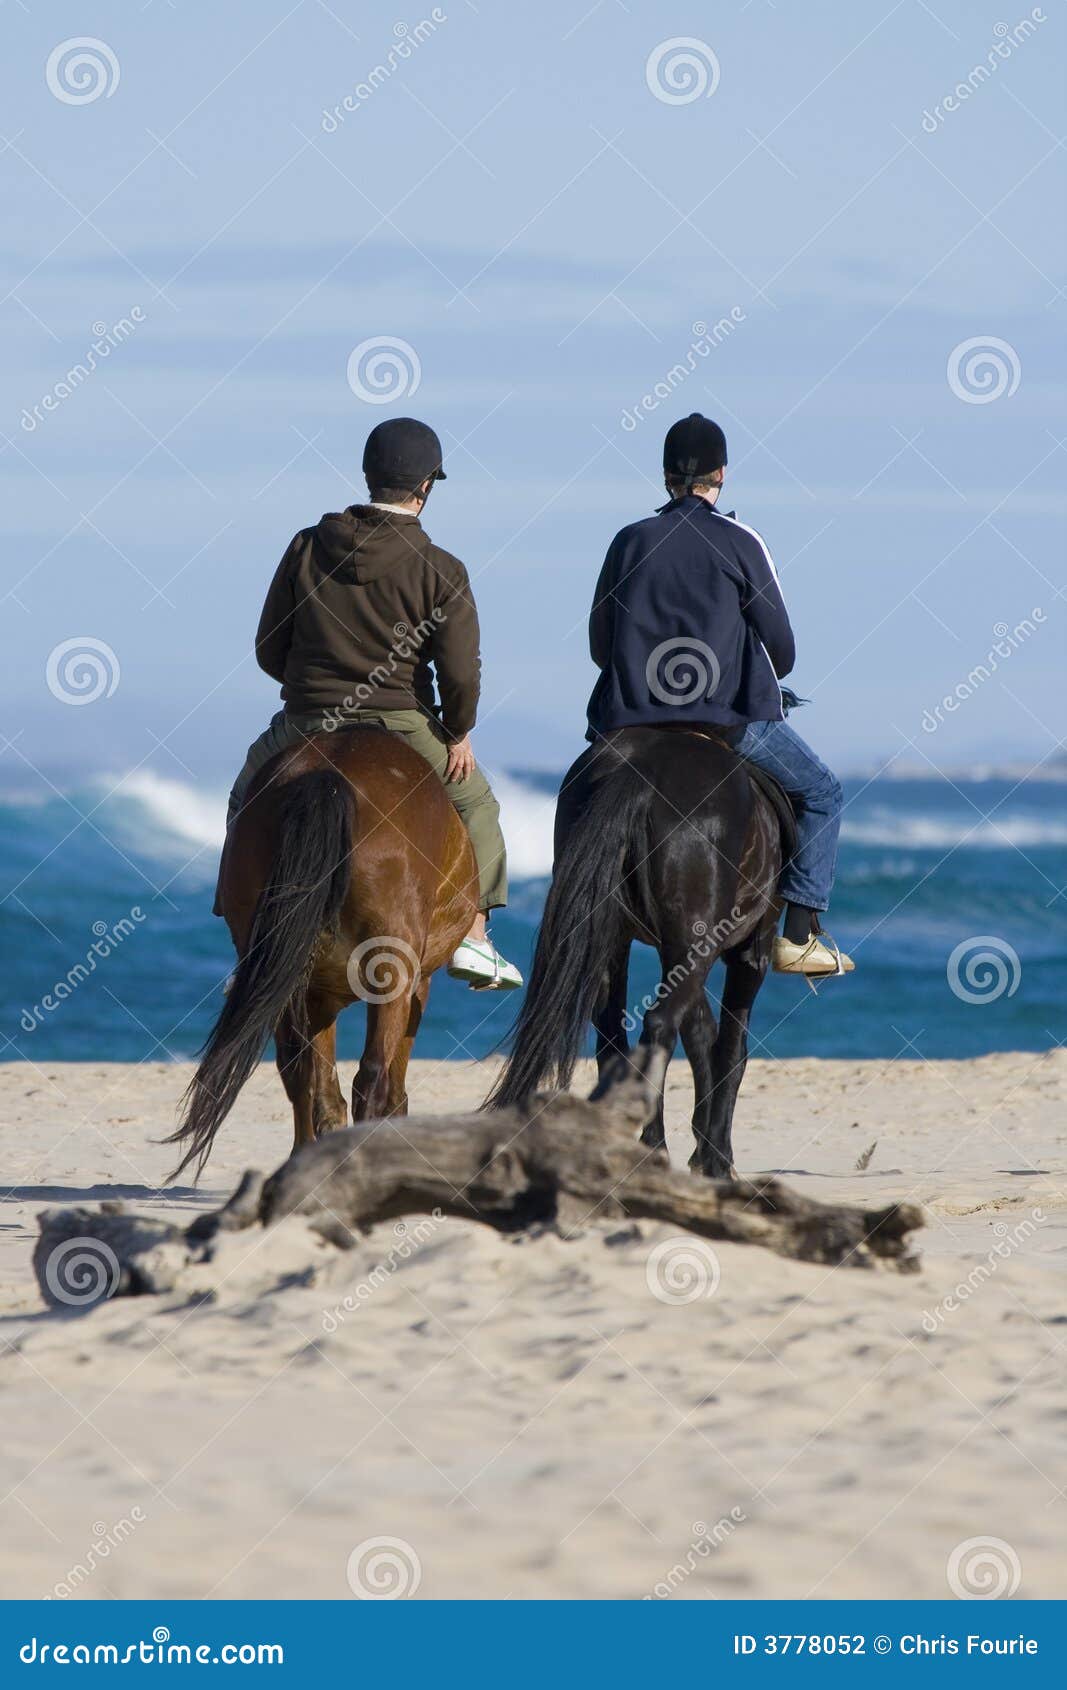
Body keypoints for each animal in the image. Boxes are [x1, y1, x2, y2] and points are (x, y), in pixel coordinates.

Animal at [165, 725, 477, 1179]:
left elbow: (323, 1089)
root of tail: (328, 774)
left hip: (281, 973)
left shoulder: (317, 994)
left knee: (297, 1069)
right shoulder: (416, 982)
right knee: (372, 1079)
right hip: (393, 971)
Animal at [489, 727, 784, 1179]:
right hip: (698, 942)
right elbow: (731, 1048)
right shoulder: (751, 951)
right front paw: (716, 1157)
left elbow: (702, 1032)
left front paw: (704, 1147)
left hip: (616, 939)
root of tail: (640, 771)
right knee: (659, 1025)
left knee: (615, 1033)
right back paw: (656, 1150)